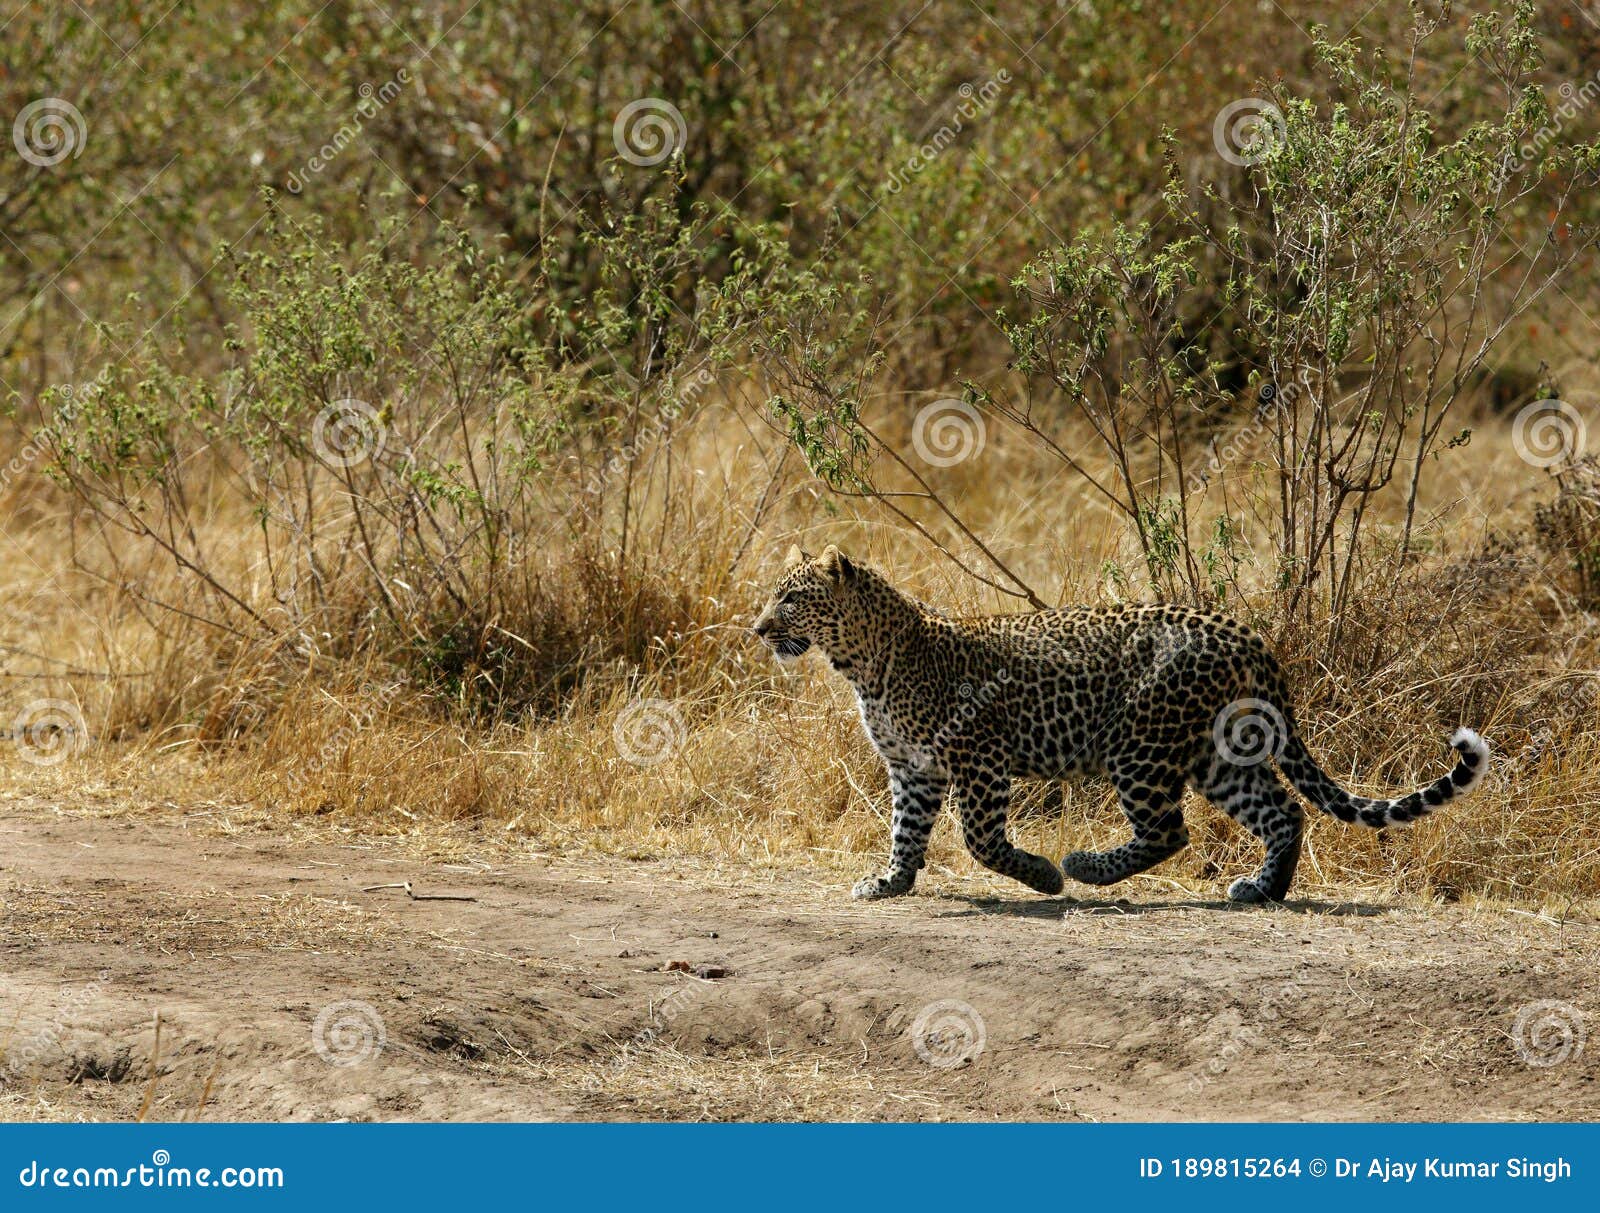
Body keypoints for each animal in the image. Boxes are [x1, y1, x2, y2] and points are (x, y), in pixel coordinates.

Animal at [750, 544, 1489, 905]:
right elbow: (906, 835)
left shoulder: (978, 755)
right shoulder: (913, 768)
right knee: (1283, 811)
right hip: (1215, 752)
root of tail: (1242, 632)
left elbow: (981, 840)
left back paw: (1089, 868)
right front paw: (890, 884)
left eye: (792, 599)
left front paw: (1043, 877)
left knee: (1170, 830)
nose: (757, 629)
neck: (864, 663)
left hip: (1141, 742)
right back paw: (1261, 890)